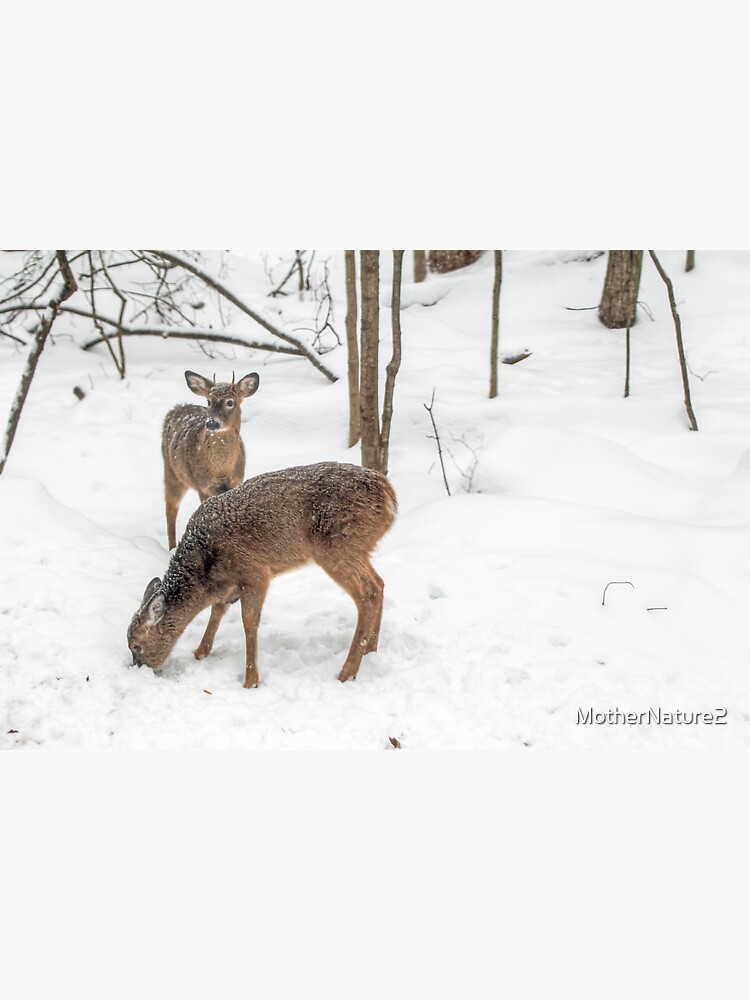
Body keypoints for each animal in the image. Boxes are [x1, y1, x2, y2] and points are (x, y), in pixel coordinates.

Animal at [127, 461, 397, 687]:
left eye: (136, 646)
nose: (140, 670)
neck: (204, 569)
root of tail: (389, 495)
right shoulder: (229, 587)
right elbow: (218, 611)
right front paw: (200, 652)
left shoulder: (255, 572)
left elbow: (249, 622)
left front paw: (250, 681)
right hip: (357, 549)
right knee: (380, 583)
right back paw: (371, 650)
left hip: (339, 546)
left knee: (368, 593)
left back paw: (347, 671)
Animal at [162, 370, 260, 549]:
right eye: (208, 401)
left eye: (230, 402)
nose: (212, 423)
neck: (222, 470)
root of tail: (177, 407)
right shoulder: (204, 485)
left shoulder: (236, 481)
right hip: (172, 472)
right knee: (170, 507)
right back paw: (171, 548)